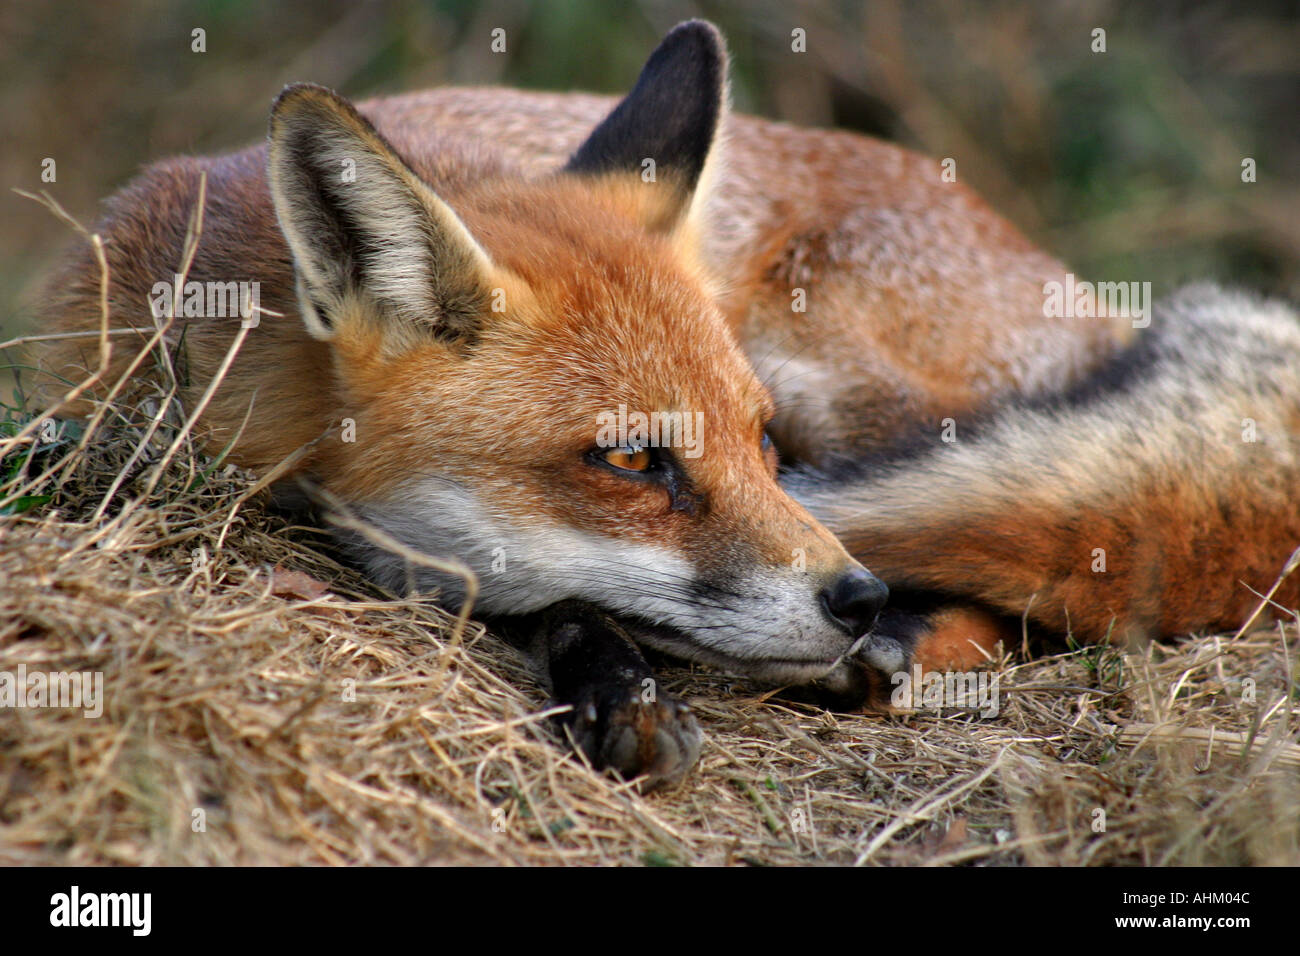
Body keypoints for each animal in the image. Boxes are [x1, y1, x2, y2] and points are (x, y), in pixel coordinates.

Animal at [30, 20, 1300, 787]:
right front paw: (615, 682)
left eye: (759, 441)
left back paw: (915, 635)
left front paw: (622, 684)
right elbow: (553, 594)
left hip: (842, 369)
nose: (852, 595)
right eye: (635, 461)